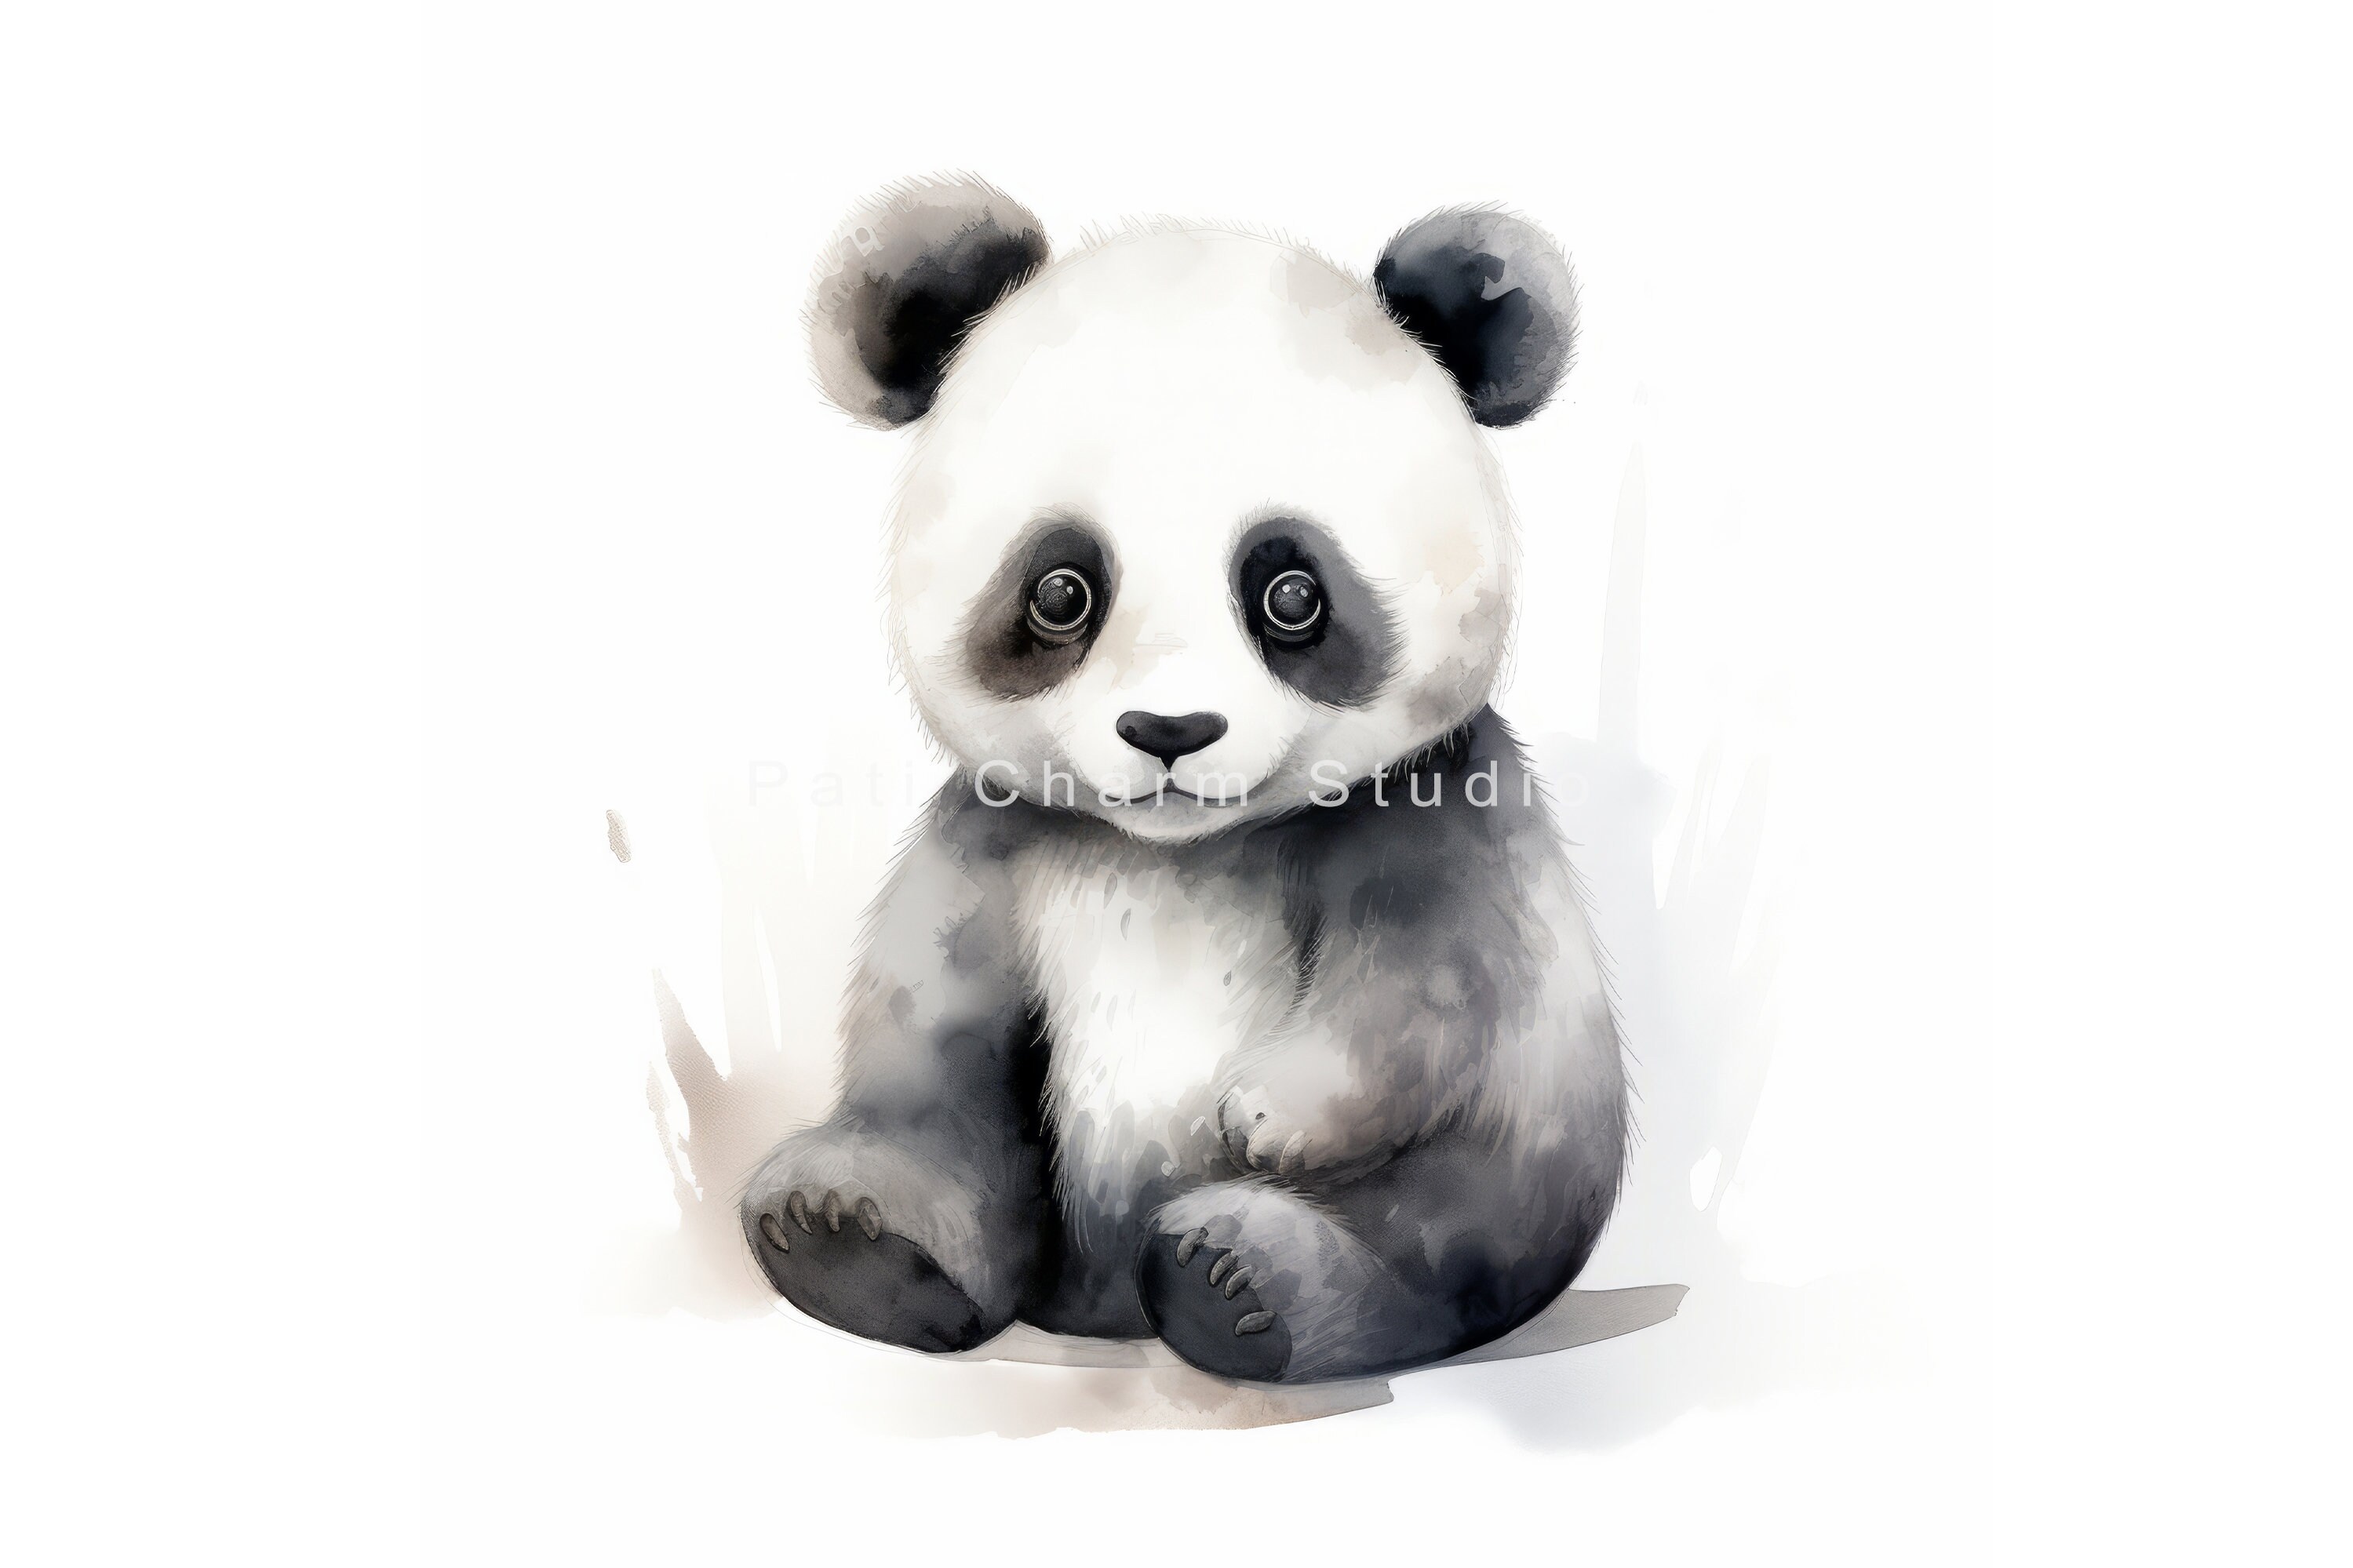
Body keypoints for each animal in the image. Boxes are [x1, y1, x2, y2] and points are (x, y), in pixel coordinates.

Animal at [739, 175, 1626, 1384]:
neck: (1178, 856)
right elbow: (929, 1011)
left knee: (1433, 1232)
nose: (1169, 728)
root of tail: (1102, 1306)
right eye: (1060, 590)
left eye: (1291, 592)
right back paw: (855, 1238)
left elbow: (1430, 985)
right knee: (957, 1144)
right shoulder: (998, 835)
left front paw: (1263, 1112)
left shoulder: (1436, 804)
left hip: (1513, 1166)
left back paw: (1241, 1280)